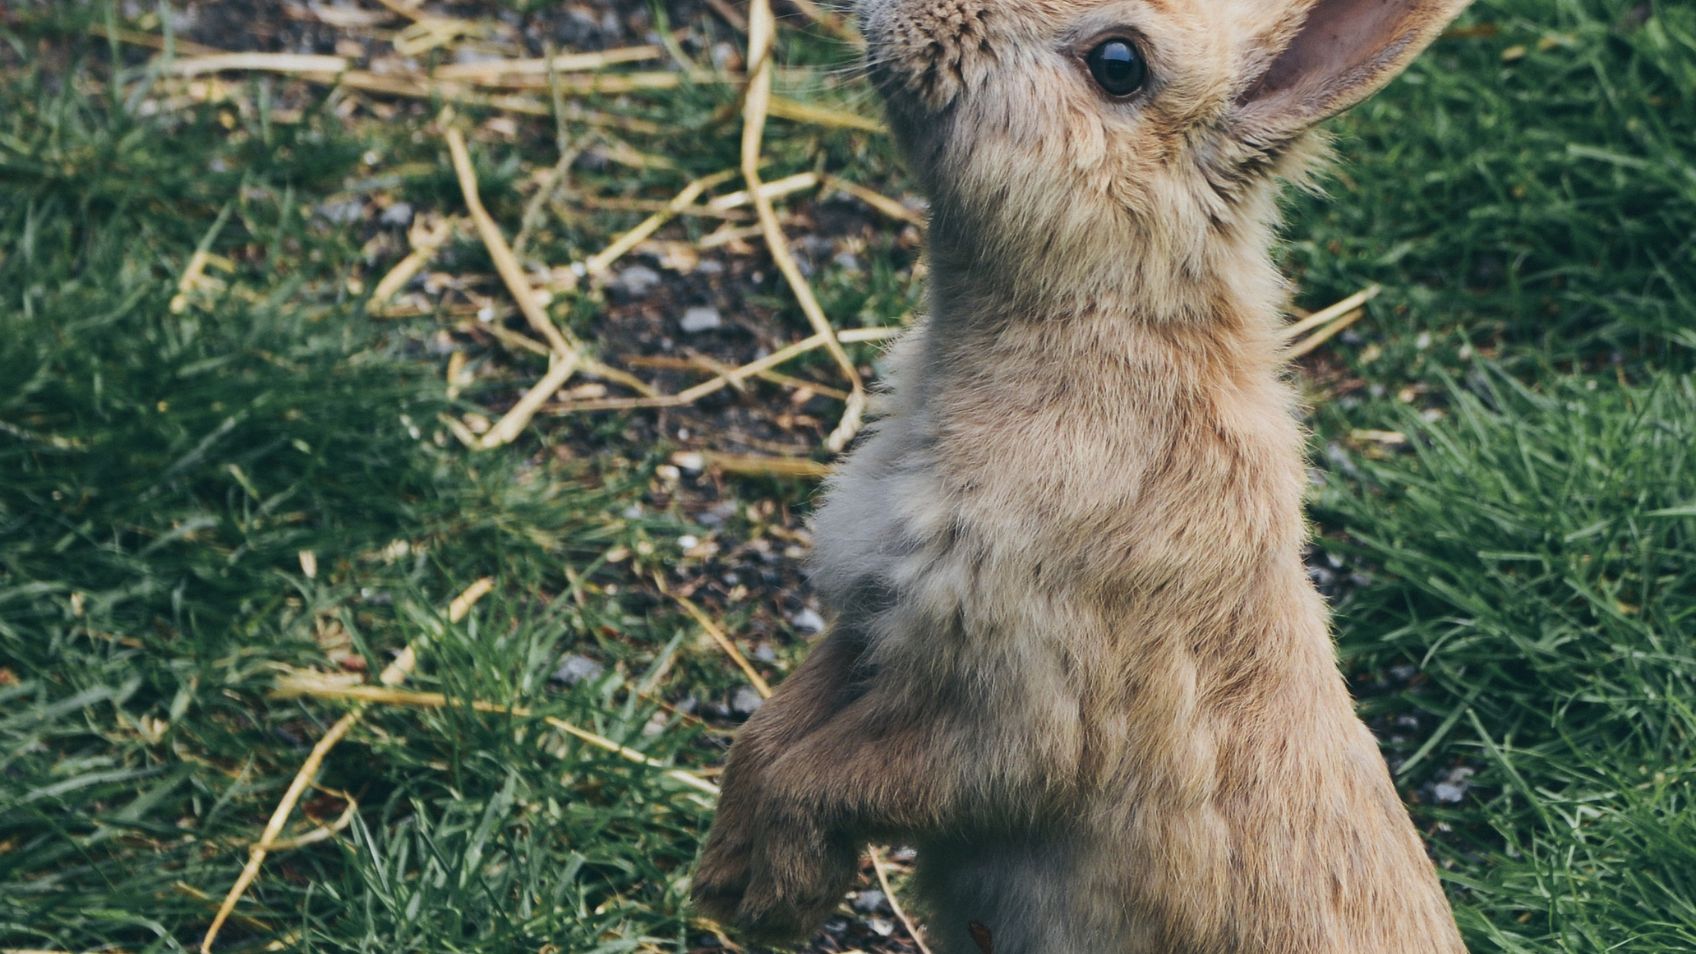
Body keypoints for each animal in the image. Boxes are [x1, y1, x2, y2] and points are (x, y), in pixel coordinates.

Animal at [693, 0, 1472, 951]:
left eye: (1118, 65)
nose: (899, 10)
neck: (1093, 315)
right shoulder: (878, 620)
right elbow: (771, 736)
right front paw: (728, 877)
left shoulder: (1016, 709)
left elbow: (844, 776)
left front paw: (771, 900)